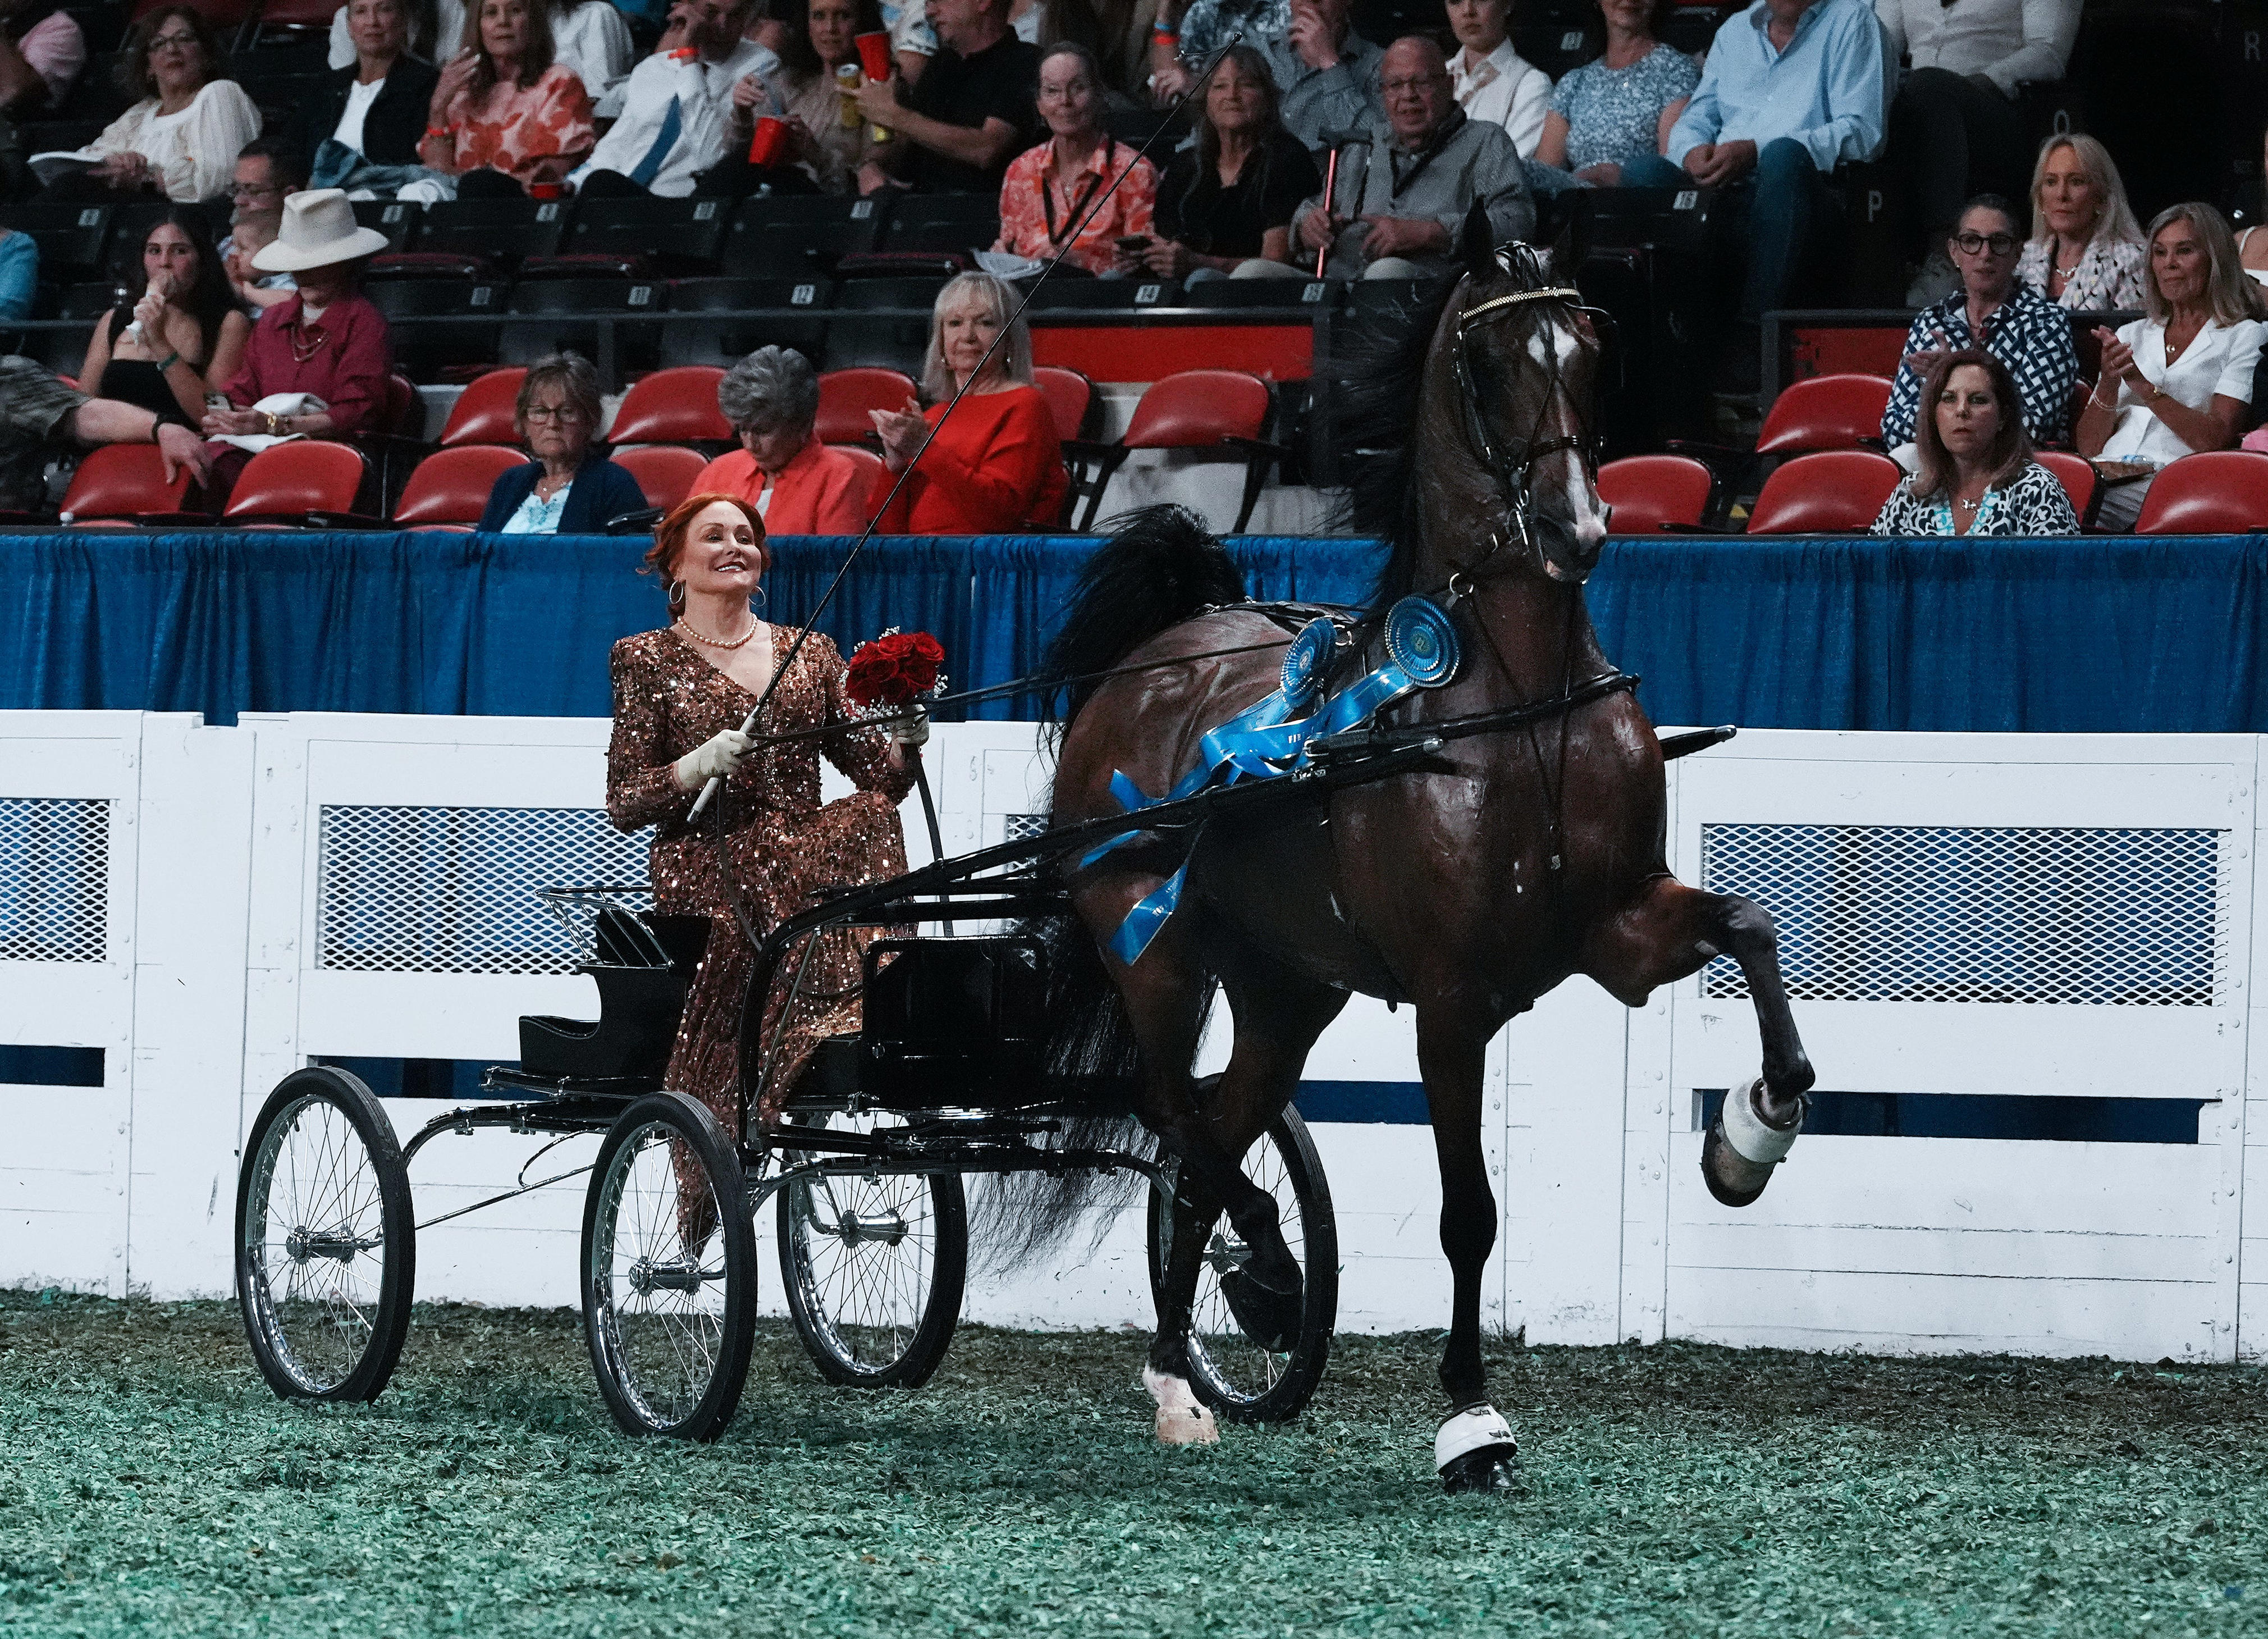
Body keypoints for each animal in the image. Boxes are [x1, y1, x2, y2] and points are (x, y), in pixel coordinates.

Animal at [1029, 241, 1818, 1491]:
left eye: (1589, 348)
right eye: (1488, 364)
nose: (1577, 526)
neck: (1515, 706)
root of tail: (1151, 660)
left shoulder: (1621, 927)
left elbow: (1749, 923)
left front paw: (1750, 1134)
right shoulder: (1451, 1001)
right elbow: (1468, 1214)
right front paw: (1471, 1418)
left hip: (1285, 984)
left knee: (1215, 1127)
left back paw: (1203, 1347)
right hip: (1151, 946)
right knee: (1172, 1109)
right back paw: (1246, 1299)